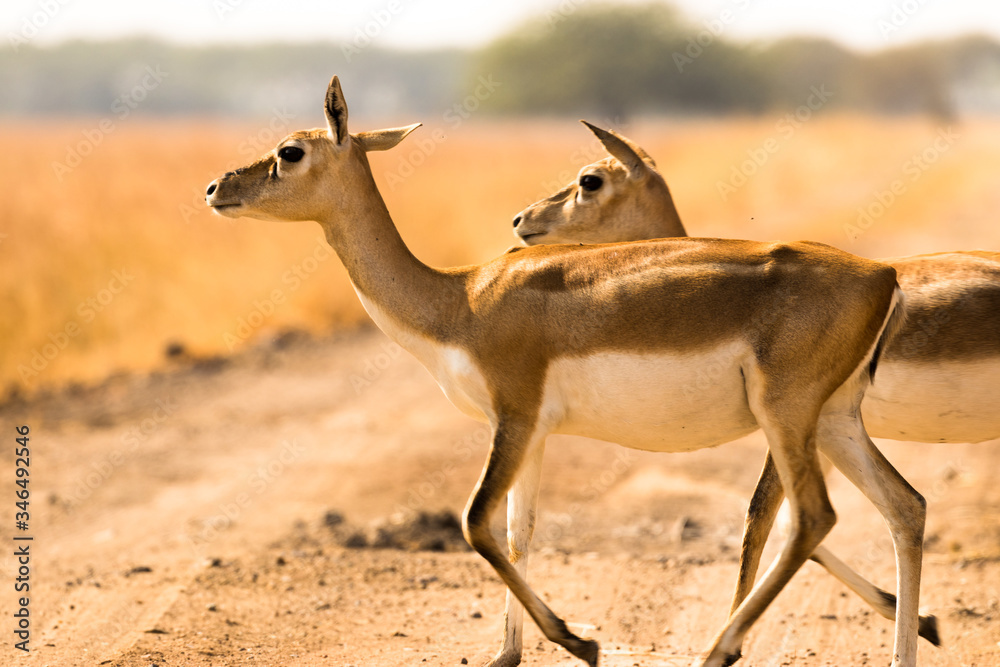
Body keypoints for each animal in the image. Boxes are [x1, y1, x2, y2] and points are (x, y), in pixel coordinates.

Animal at [205, 76, 926, 667]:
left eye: (290, 151)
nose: (215, 188)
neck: (460, 298)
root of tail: (880, 276)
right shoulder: (534, 431)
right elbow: (518, 532)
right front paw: (507, 653)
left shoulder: (515, 414)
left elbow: (476, 521)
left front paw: (582, 642)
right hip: (832, 422)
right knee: (904, 505)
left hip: (787, 416)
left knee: (809, 517)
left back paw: (718, 650)